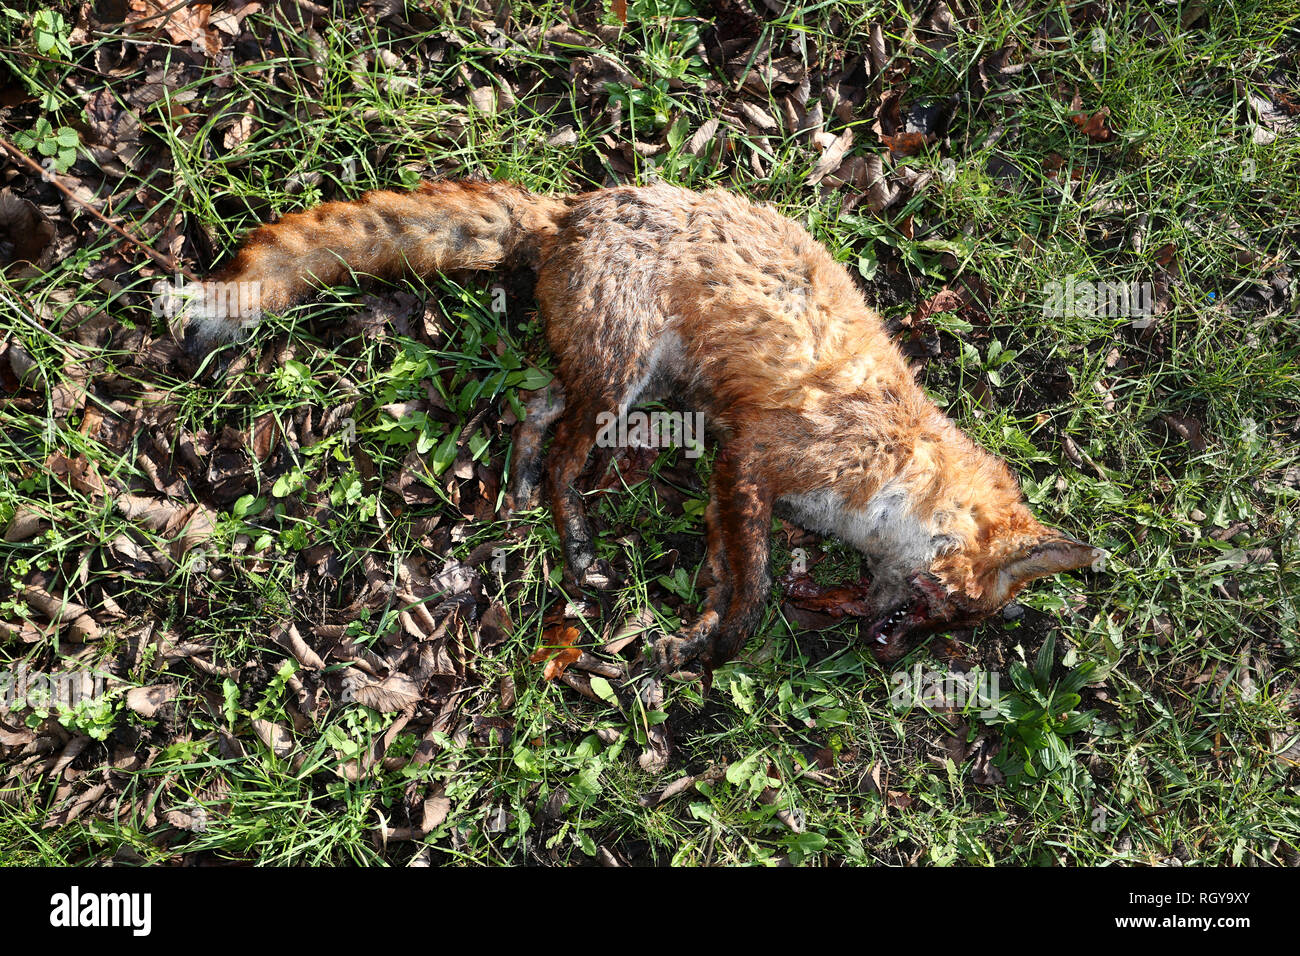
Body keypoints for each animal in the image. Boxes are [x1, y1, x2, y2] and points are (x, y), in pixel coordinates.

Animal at [190, 178, 1103, 673]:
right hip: (622, 378)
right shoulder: (751, 459)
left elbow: (723, 576)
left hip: (624, 383)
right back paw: (577, 544)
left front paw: (691, 642)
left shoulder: (731, 483)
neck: (896, 464)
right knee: (565, 458)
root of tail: (574, 210)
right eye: (945, 611)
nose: (883, 648)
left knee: (534, 415)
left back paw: (523, 497)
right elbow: (753, 589)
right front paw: (720, 649)